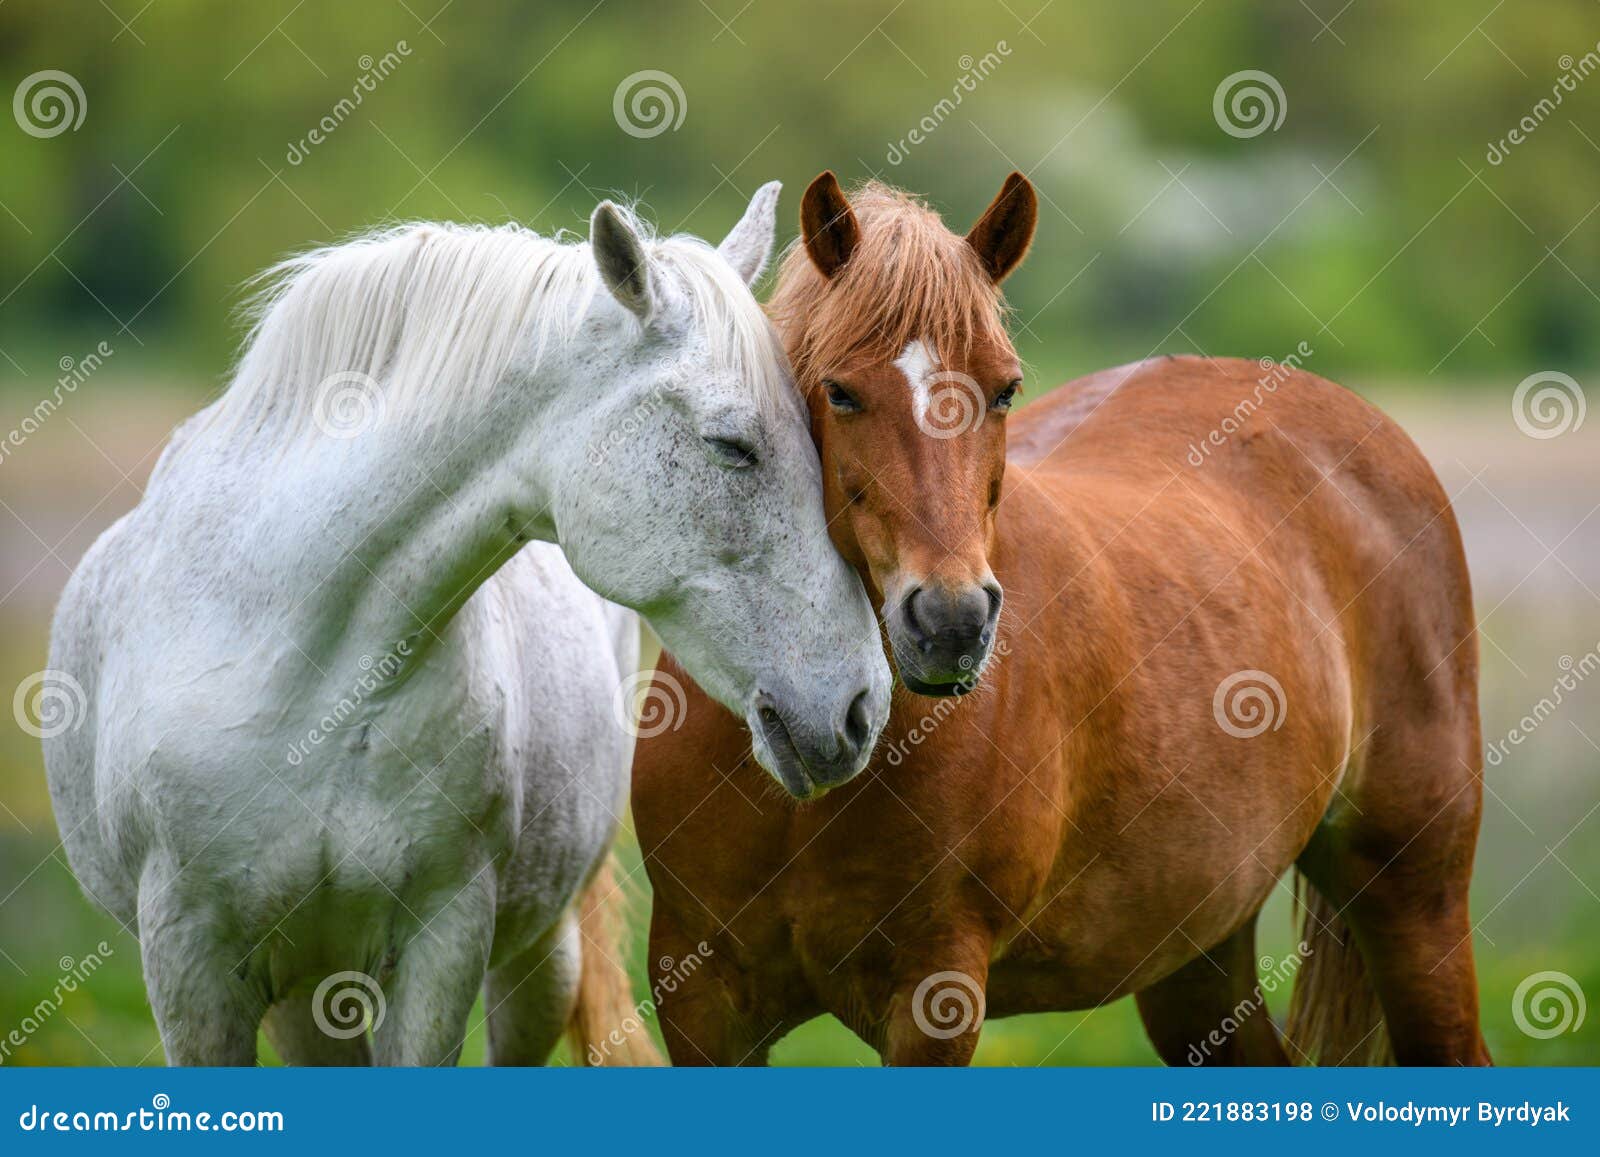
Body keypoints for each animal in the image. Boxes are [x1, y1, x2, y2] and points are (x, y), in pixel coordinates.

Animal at [42, 183, 892, 1066]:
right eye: (733, 445)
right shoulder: (192, 968)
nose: (862, 706)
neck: (293, 661)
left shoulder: (441, 943)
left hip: (534, 958)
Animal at [632, 173, 1489, 1067]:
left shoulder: (935, 993)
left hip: (1414, 902)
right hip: (1198, 957)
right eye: (839, 390)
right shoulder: (700, 995)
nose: (951, 622)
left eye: (1005, 388)